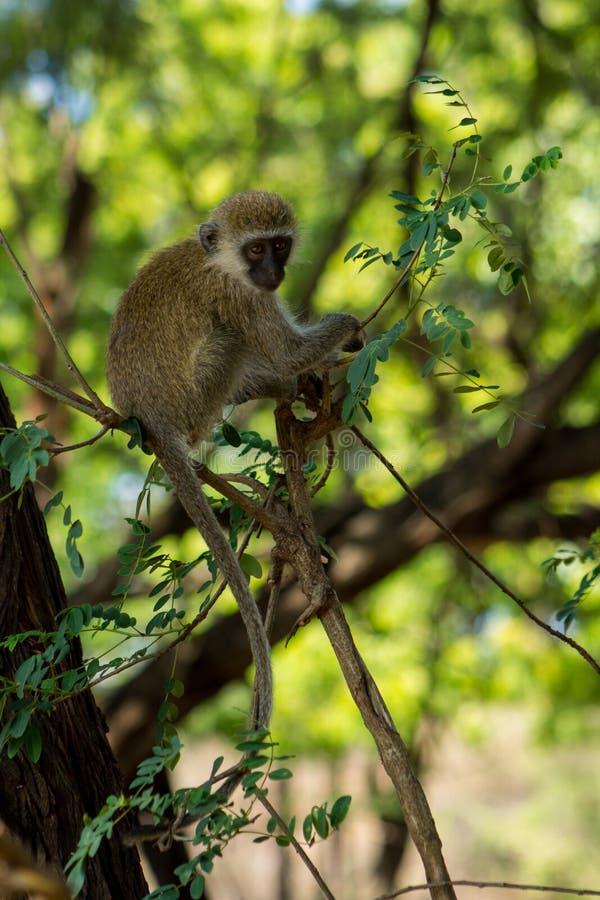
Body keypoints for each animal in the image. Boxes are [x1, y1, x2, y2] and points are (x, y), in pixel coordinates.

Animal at [105, 190, 364, 731]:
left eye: (280, 246)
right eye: (255, 249)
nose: (273, 271)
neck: (219, 262)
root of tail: (147, 417)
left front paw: (322, 366)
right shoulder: (240, 297)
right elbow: (287, 351)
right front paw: (344, 333)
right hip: (197, 398)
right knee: (230, 339)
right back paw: (282, 384)